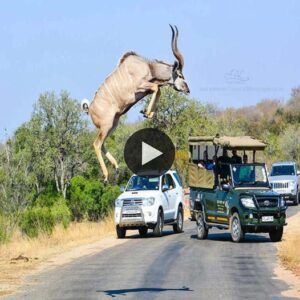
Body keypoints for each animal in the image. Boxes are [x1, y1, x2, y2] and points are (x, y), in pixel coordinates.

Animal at [81, 24, 190, 182]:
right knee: (96, 144)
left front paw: (147, 113)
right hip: (107, 125)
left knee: (102, 143)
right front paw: (147, 113)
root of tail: (89, 109)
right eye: (180, 75)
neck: (148, 67)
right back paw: (106, 176)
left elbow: (158, 90)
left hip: (113, 124)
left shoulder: (148, 88)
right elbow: (156, 88)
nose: (187, 89)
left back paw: (116, 166)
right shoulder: (140, 86)